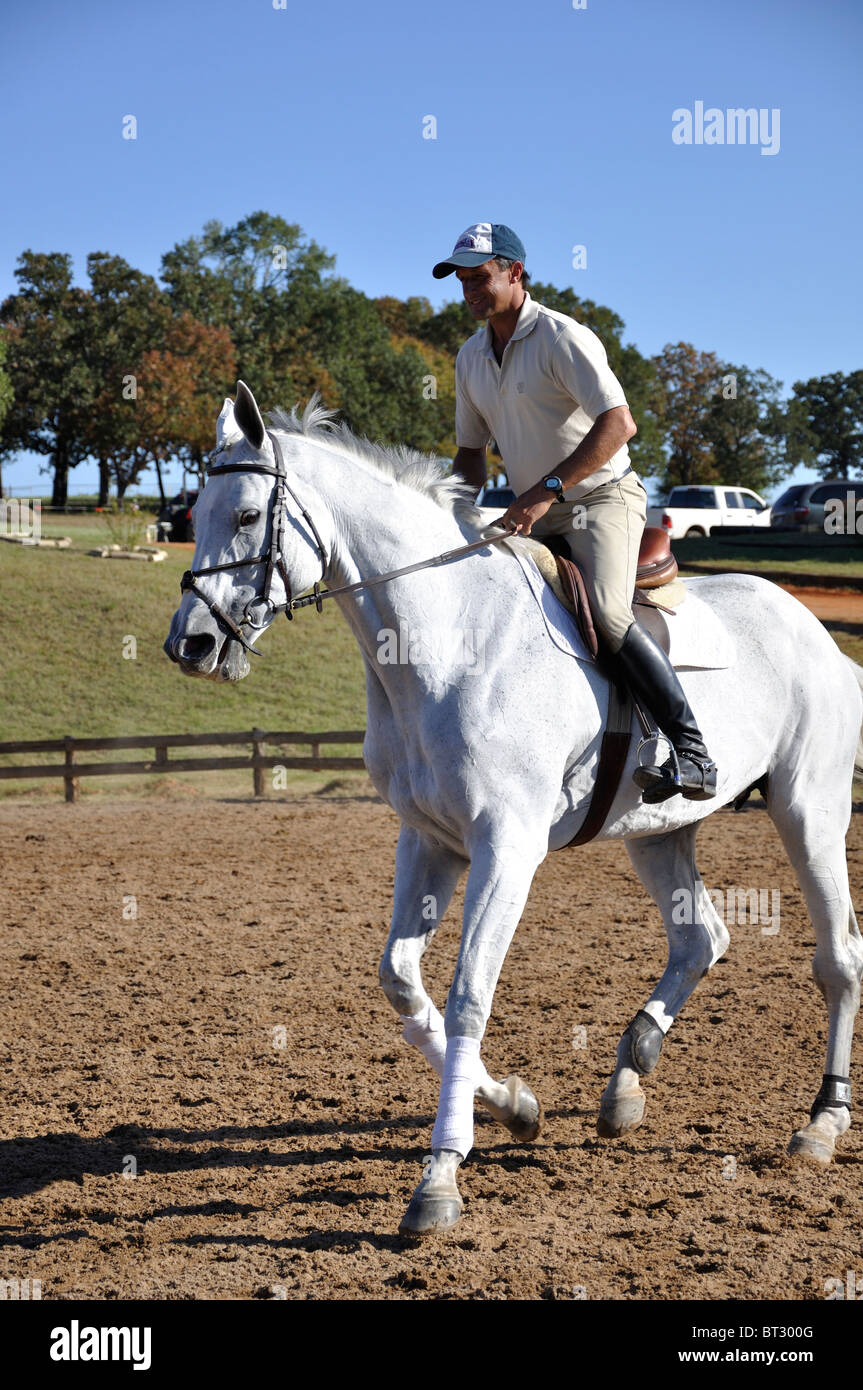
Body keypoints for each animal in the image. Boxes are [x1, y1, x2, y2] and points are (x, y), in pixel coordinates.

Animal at [164, 381, 863, 1237]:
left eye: (243, 516)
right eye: (194, 513)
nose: (190, 645)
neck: (443, 640)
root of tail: (815, 631)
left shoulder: (506, 848)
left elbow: (469, 996)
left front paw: (439, 1176)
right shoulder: (428, 841)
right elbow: (402, 985)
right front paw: (511, 1107)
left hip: (807, 810)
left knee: (837, 958)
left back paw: (820, 1124)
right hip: (658, 832)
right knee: (701, 936)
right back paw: (626, 1083)